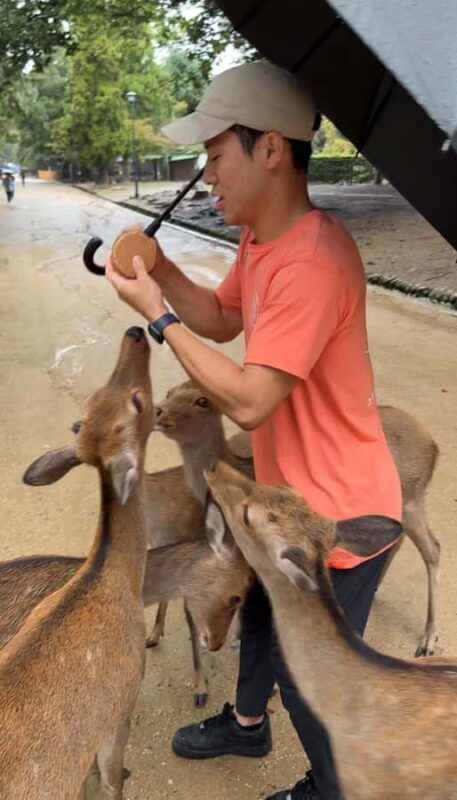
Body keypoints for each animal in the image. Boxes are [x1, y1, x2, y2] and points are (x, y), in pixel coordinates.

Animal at [0, 326, 154, 799]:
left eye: (97, 395)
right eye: (137, 402)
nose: (135, 332)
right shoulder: (123, 704)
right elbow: (112, 777)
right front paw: (123, 776)